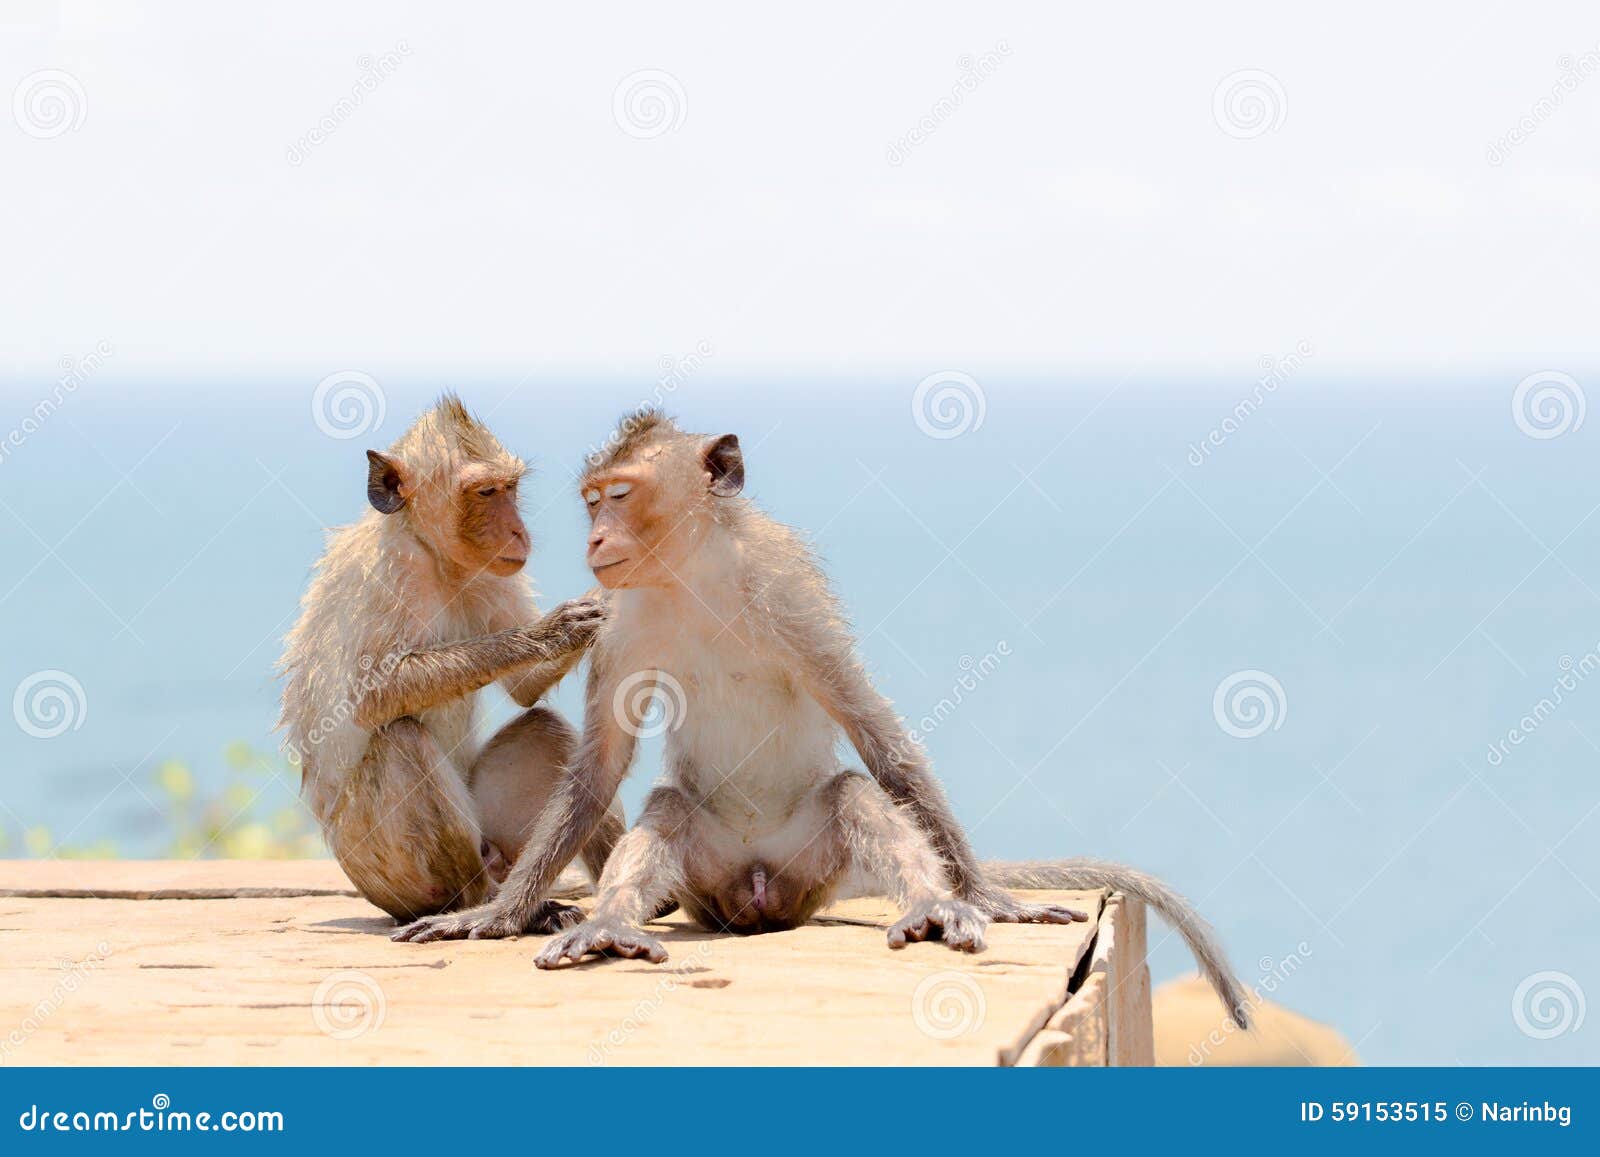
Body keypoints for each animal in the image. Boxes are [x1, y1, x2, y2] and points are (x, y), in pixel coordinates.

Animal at [278, 393, 616, 925]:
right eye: (485, 493)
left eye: (510, 489)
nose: (517, 532)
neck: (434, 554)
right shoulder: (392, 569)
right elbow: (372, 694)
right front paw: (553, 628)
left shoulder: (491, 571)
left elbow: (526, 688)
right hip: (384, 869)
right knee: (400, 740)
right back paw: (478, 905)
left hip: (498, 837)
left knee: (545, 729)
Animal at [392, 410, 1249, 1029]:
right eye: (592, 500)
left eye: (621, 494)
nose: (597, 535)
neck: (694, 575)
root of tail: (758, 887)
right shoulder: (619, 618)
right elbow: (598, 769)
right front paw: (500, 912)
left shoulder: (790, 592)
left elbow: (881, 743)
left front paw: (985, 892)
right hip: (710, 878)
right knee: (668, 808)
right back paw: (611, 923)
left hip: (808, 867)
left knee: (852, 794)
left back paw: (933, 903)